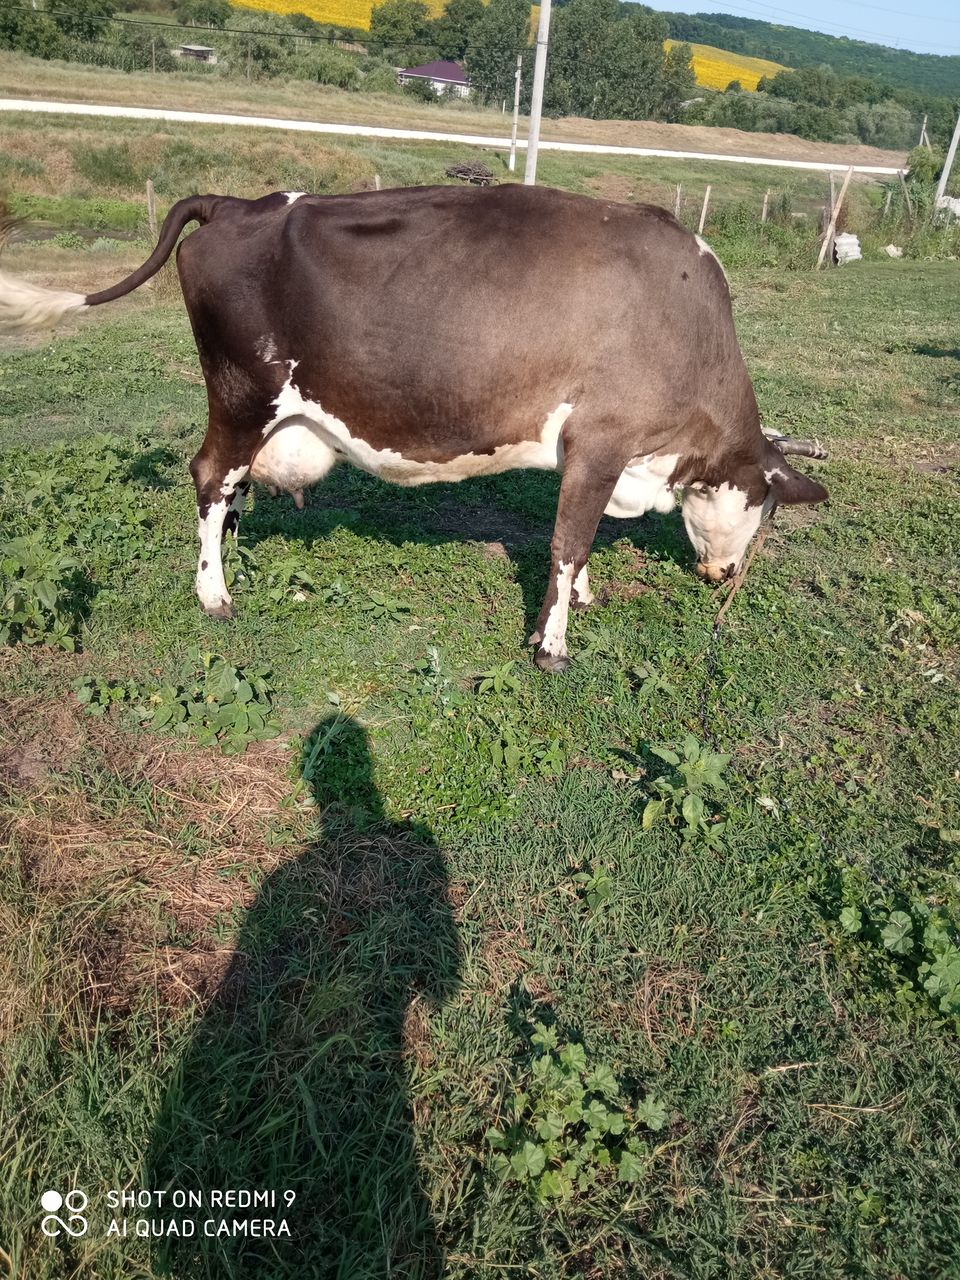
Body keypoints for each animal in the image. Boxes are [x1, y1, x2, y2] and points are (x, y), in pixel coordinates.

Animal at [0, 185, 827, 671]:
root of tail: (236, 201)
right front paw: (554, 645)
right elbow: (568, 542)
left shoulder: (594, 456)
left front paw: (581, 600)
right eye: (765, 509)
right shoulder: (602, 440)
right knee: (208, 476)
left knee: (227, 490)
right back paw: (214, 592)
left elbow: (578, 539)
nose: (723, 574)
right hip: (242, 393)